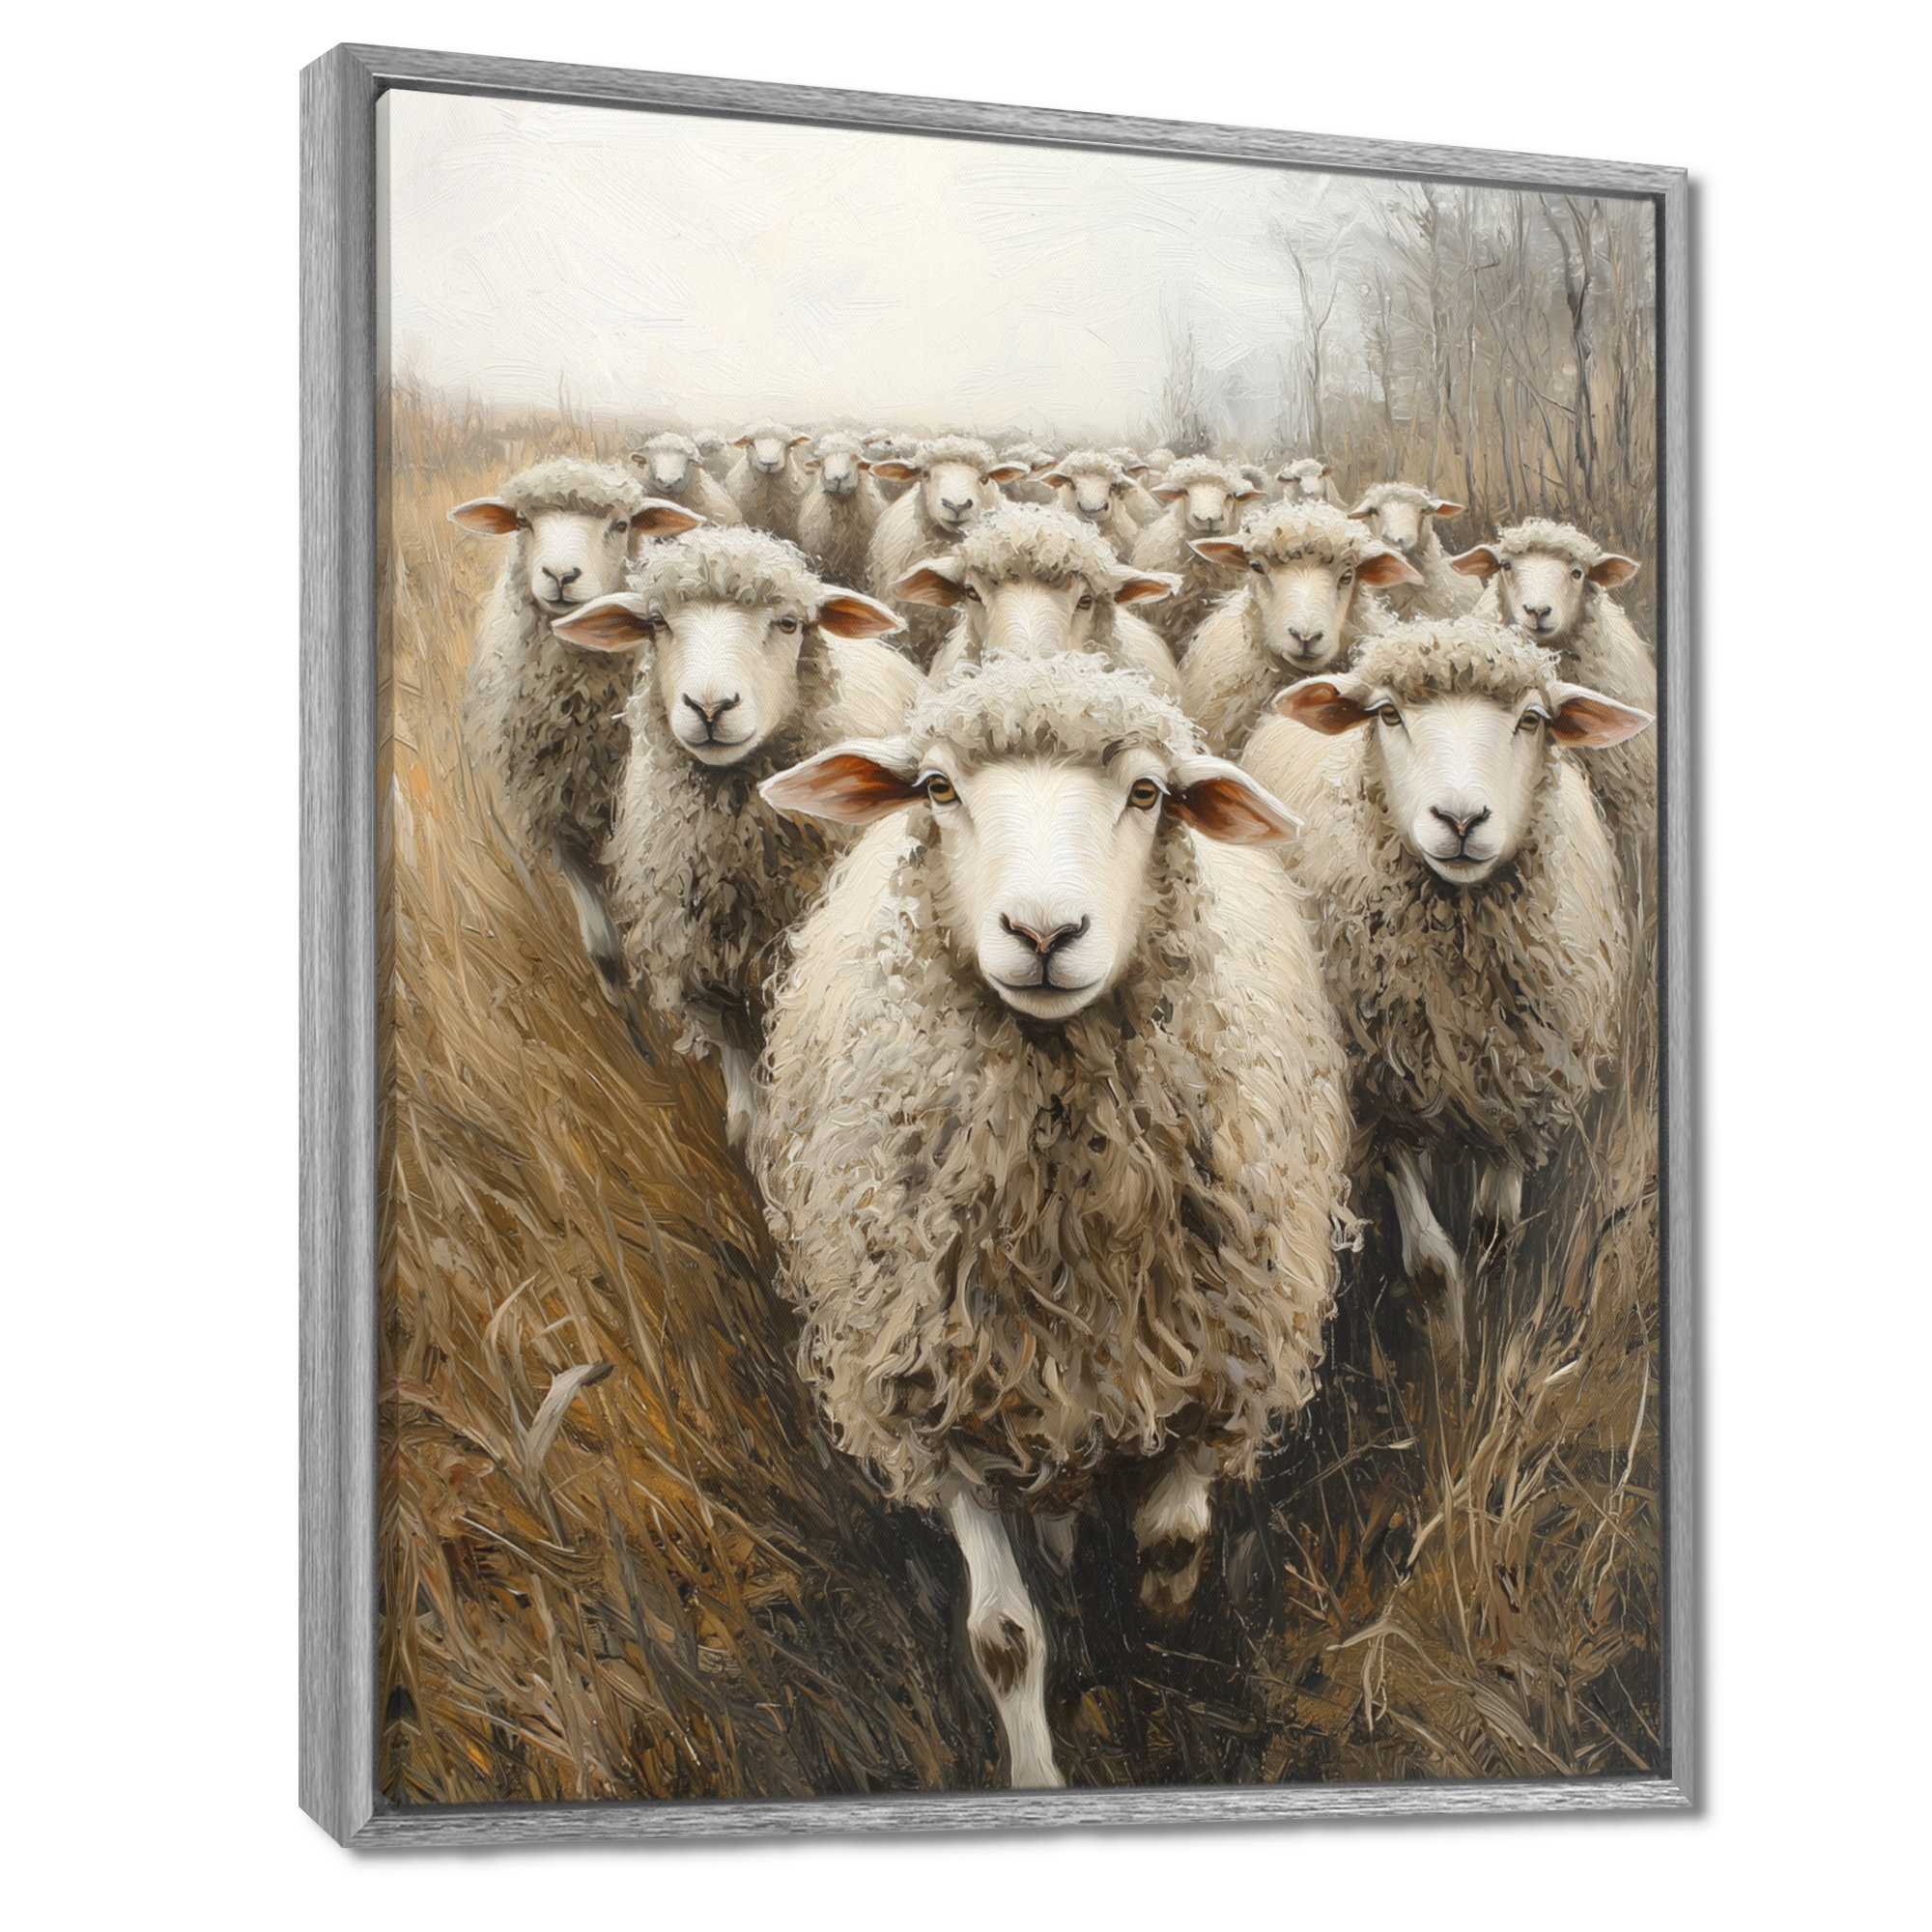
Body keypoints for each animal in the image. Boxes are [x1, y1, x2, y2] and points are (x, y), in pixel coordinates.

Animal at [449, 459, 706, 996]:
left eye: (622, 524)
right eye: (522, 521)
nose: (561, 576)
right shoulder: (550, 817)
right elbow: (603, 947)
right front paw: (619, 998)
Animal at [752, 652, 1353, 1788]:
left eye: (1147, 792)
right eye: (938, 788)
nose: (1042, 934)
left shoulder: (1229, 1351)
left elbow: (1171, 1538)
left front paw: (1158, 1625)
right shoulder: (935, 1397)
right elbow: (1002, 1637)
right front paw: (1036, 1771)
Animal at [1241, 617, 1651, 1331]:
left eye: (1532, 719)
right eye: (1386, 714)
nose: (1461, 820)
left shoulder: (1524, 1084)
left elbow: (1494, 1233)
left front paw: (1487, 1330)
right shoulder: (1379, 1097)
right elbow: (1432, 1264)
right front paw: (1451, 1348)